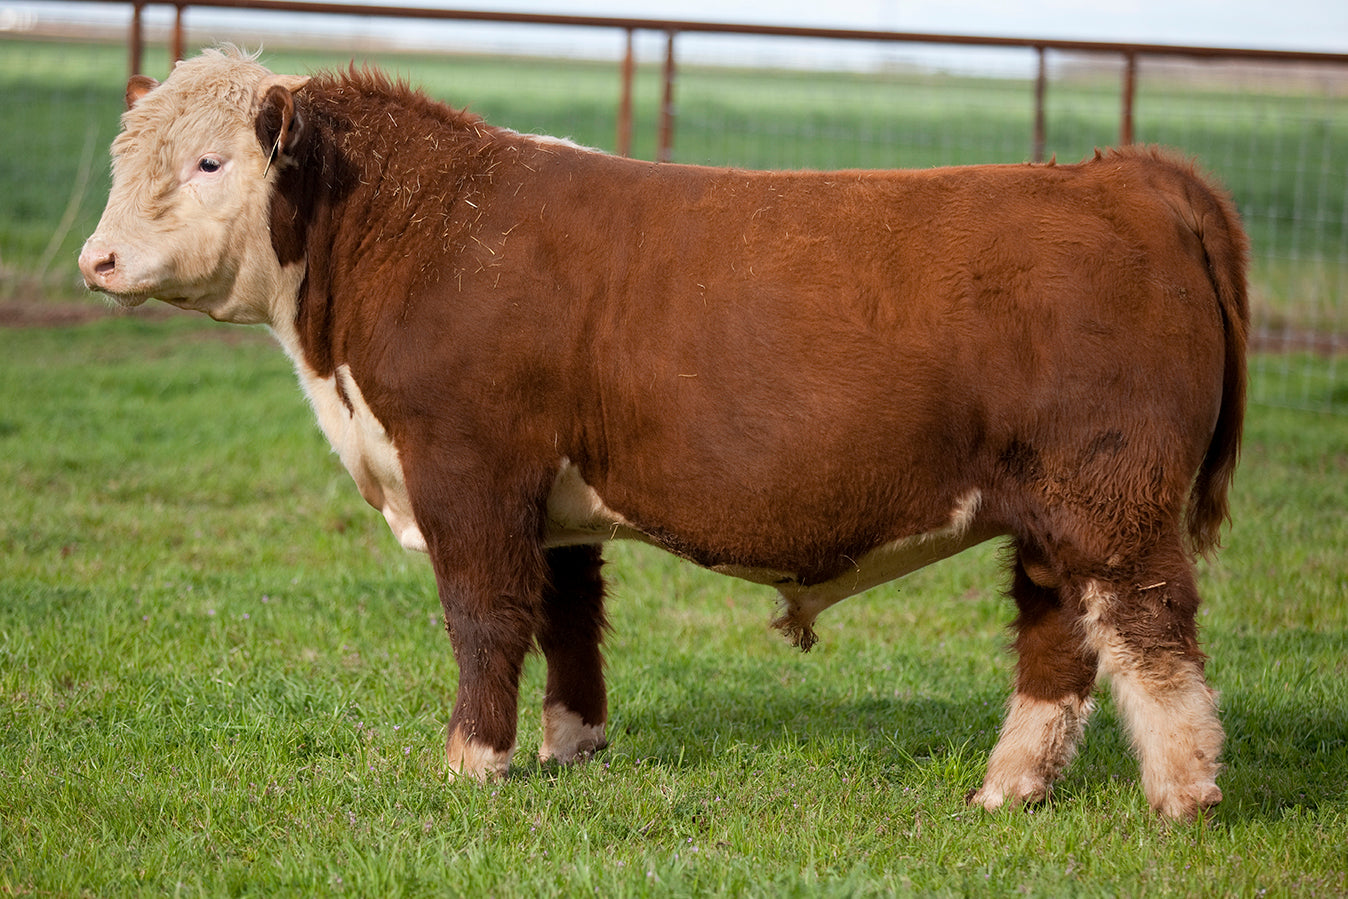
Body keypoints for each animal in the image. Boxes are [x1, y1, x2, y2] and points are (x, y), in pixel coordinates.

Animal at [79, 47, 1248, 821]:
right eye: (124, 156)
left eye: (210, 164)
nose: (97, 260)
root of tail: (1118, 175)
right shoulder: (552, 500)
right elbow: (568, 618)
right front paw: (572, 746)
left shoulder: (469, 473)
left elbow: (484, 617)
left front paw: (472, 760)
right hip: (1051, 517)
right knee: (1058, 638)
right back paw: (1008, 788)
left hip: (1115, 499)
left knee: (1150, 633)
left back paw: (1182, 796)